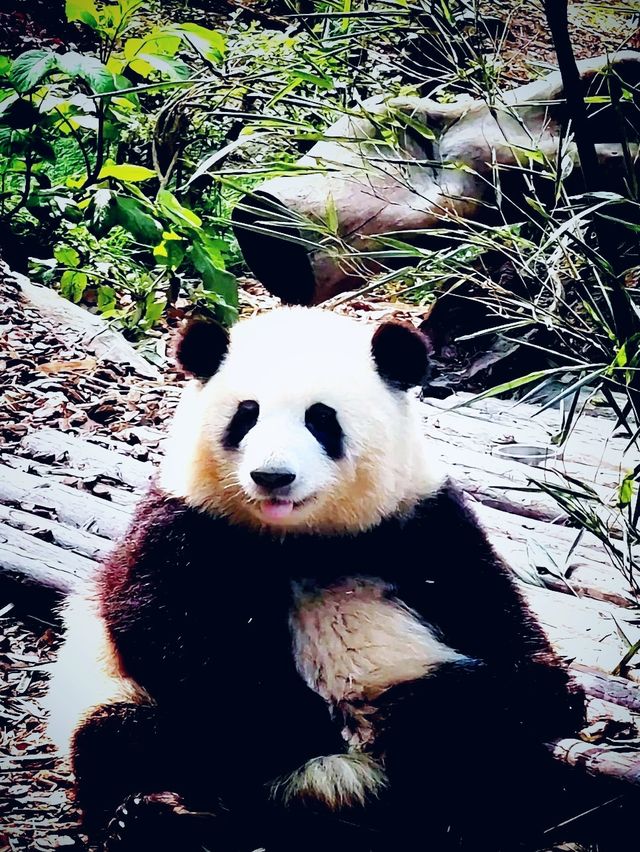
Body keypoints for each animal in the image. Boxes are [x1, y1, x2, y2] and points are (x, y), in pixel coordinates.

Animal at [45, 307, 585, 852]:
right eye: (247, 415)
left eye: (321, 418)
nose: (272, 477)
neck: (303, 536)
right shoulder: (188, 522)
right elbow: (163, 627)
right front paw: (294, 722)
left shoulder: (422, 523)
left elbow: (493, 613)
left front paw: (548, 692)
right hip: (132, 703)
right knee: (127, 739)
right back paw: (159, 814)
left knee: (484, 745)